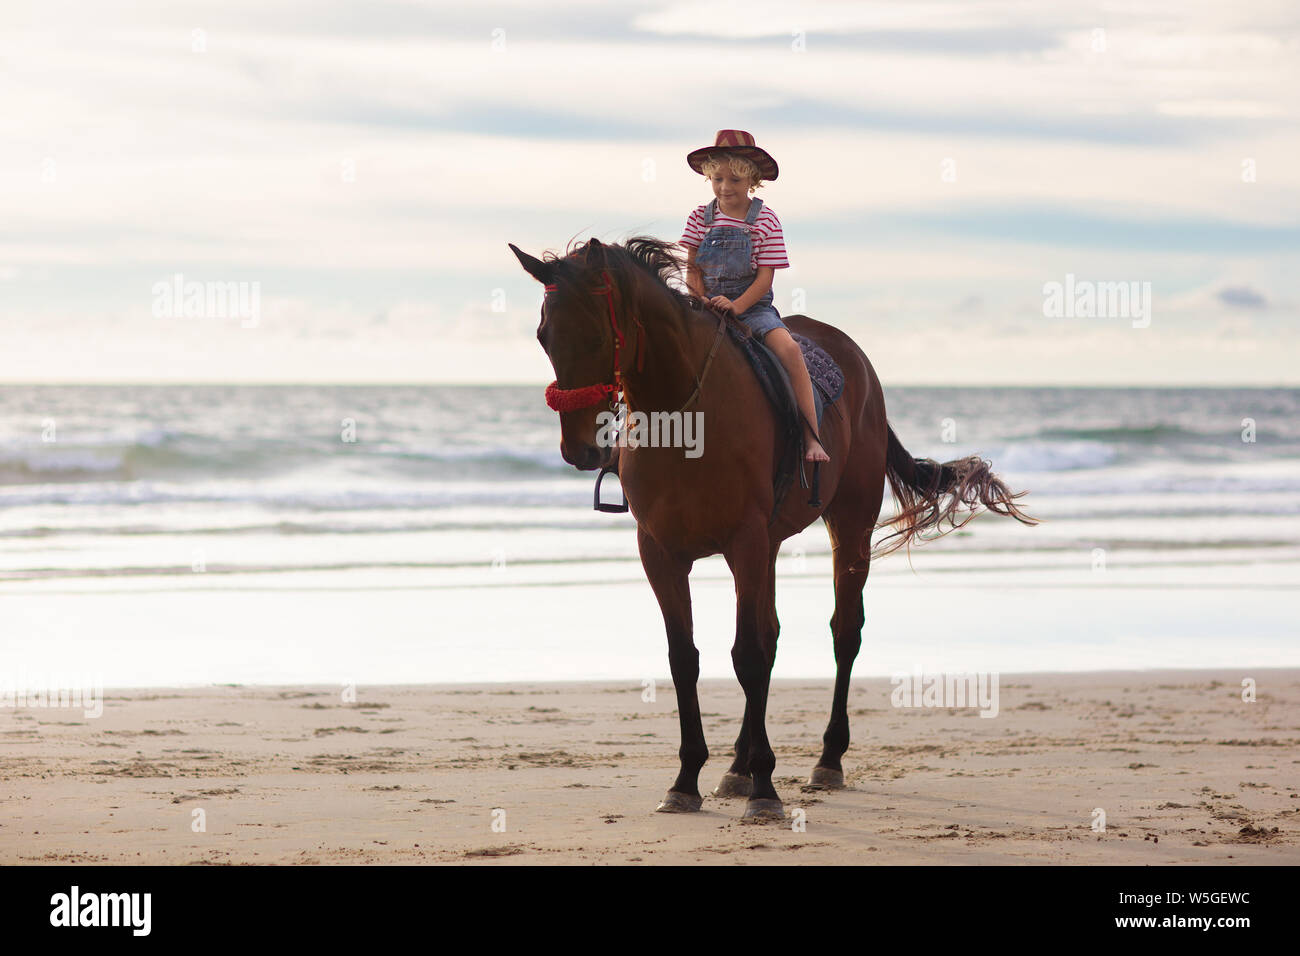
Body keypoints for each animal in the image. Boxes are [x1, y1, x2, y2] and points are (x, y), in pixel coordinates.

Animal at [508, 236, 1037, 821]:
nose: (578, 448)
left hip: (847, 529)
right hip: (770, 547)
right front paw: (690, 777)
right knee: (772, 635)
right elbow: (687, 658)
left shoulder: (744, 542)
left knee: (843, 633)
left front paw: (765, 786)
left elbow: (748, 655)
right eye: (544, 336)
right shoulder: (662, 552)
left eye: (598, 336)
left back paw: (826, 759)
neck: (686, 418)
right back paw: (738, 767)